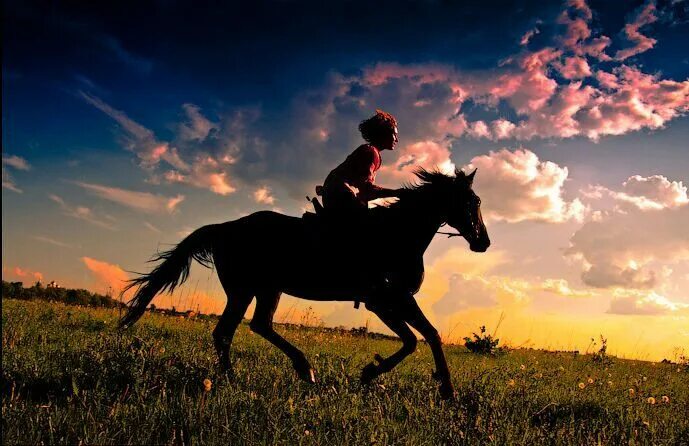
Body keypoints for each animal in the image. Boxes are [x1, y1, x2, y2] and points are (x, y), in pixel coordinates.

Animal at [121, 167, 492, 398]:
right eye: (474, 202)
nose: (483, 243)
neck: (396, 234)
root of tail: (225, 227)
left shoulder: (394, 300)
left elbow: (424, 336)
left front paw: (436, 387)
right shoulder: (384, 300)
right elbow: (419, 338)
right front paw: (434, 387)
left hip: (260, 290)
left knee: (248, 327)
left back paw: (280, 372)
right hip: (248, 289)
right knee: (234, 330)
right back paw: (274, 373)